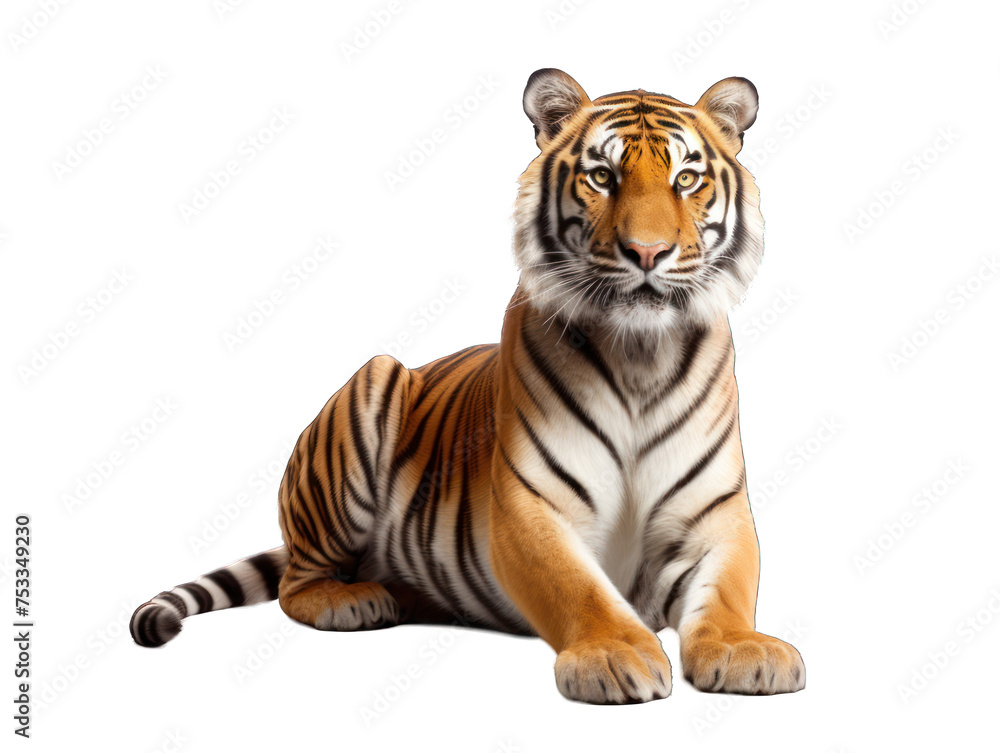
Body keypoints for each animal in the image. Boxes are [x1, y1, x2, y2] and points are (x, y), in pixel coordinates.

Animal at [130, 68, 806, 704]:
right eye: (602, 177)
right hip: (371, 386)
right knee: (295, 583)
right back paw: (353, 601)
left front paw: (744, 649)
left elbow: (729, 589)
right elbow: (578, 587)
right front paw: (615, 655)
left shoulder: (717, 515)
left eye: (686, 179)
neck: (640, 352)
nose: (647, 251)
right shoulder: (529, 507)